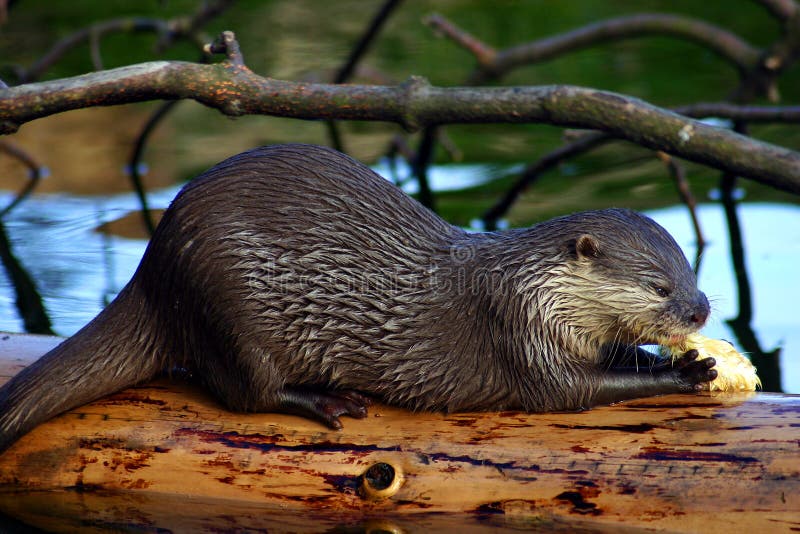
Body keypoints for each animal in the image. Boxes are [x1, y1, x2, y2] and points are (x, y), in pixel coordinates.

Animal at [0, 144, 716, 453]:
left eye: (690, 271)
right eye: (659, 286)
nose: (702, 309)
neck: (534, 290)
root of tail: (154, 266)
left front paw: (678, 358)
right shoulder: (521, 334)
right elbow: (575, 391)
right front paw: (687, 371)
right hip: (225, 296)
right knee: (246, 392)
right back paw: (326, 400)